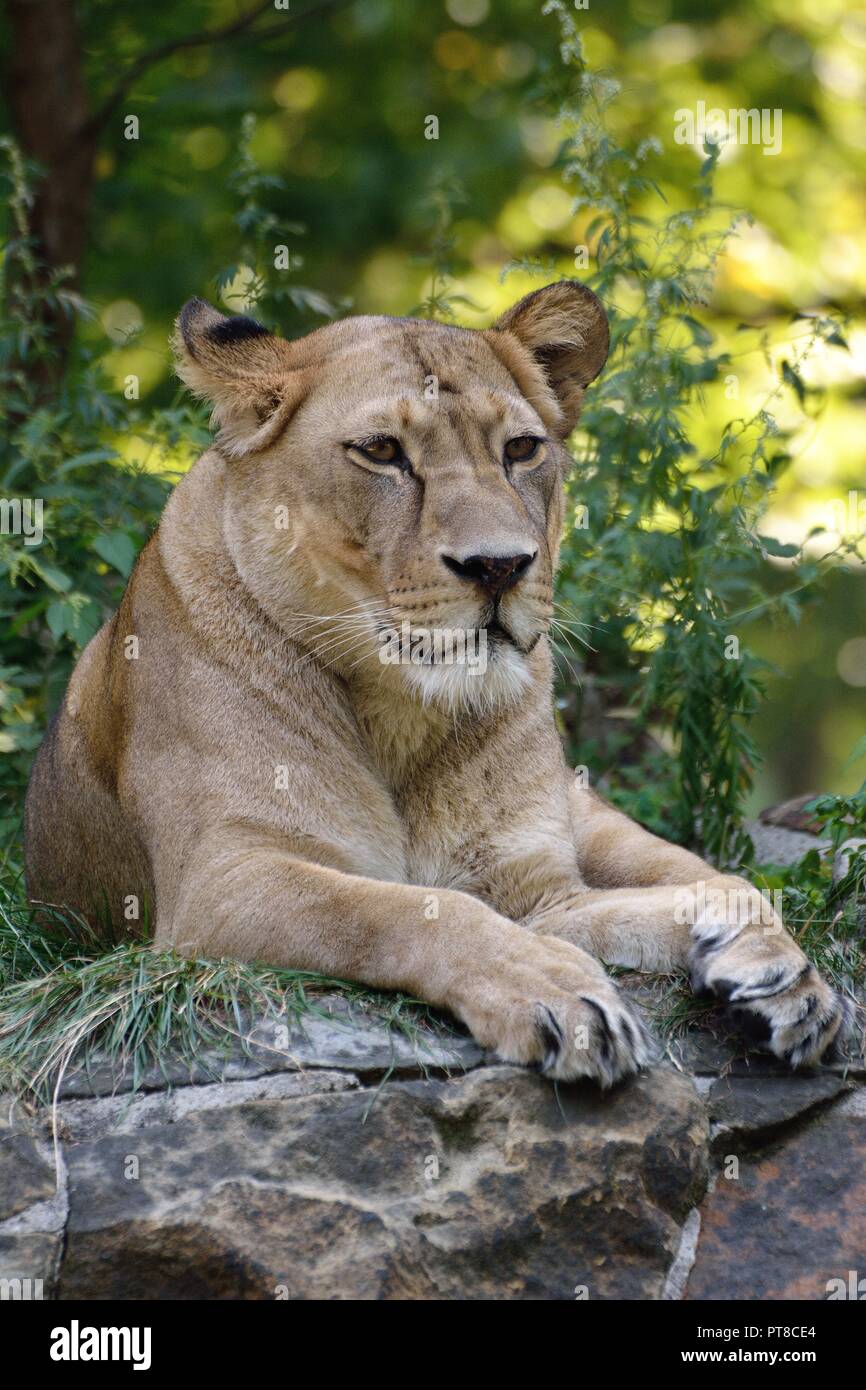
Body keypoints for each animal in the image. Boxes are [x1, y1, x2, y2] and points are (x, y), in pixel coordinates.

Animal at [24, 282, 849, 1085]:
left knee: (718, 874)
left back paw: (779, 974)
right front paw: (558, 993)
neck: (399, 710)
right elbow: (410, 911)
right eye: (383, 451)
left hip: (577, 805)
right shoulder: (219, 883)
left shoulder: (538, 889)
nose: (499, 566)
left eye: (521, 449)